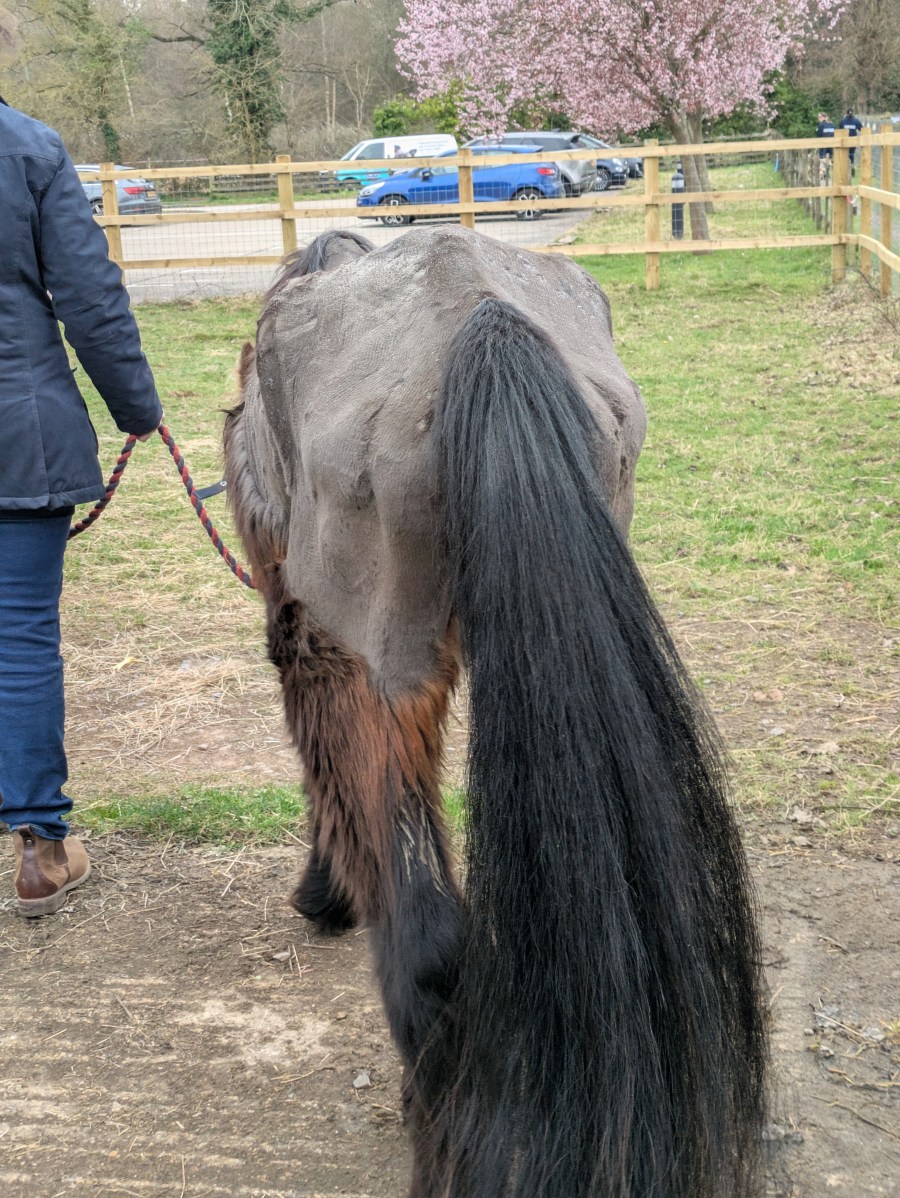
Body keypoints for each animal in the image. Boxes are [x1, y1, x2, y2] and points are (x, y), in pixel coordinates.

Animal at [224, 226, 767, 1198]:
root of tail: (480, 316)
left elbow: (329, 784)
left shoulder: (319, 642)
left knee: (431, 937)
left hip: (382, 656)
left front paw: (323, 892)